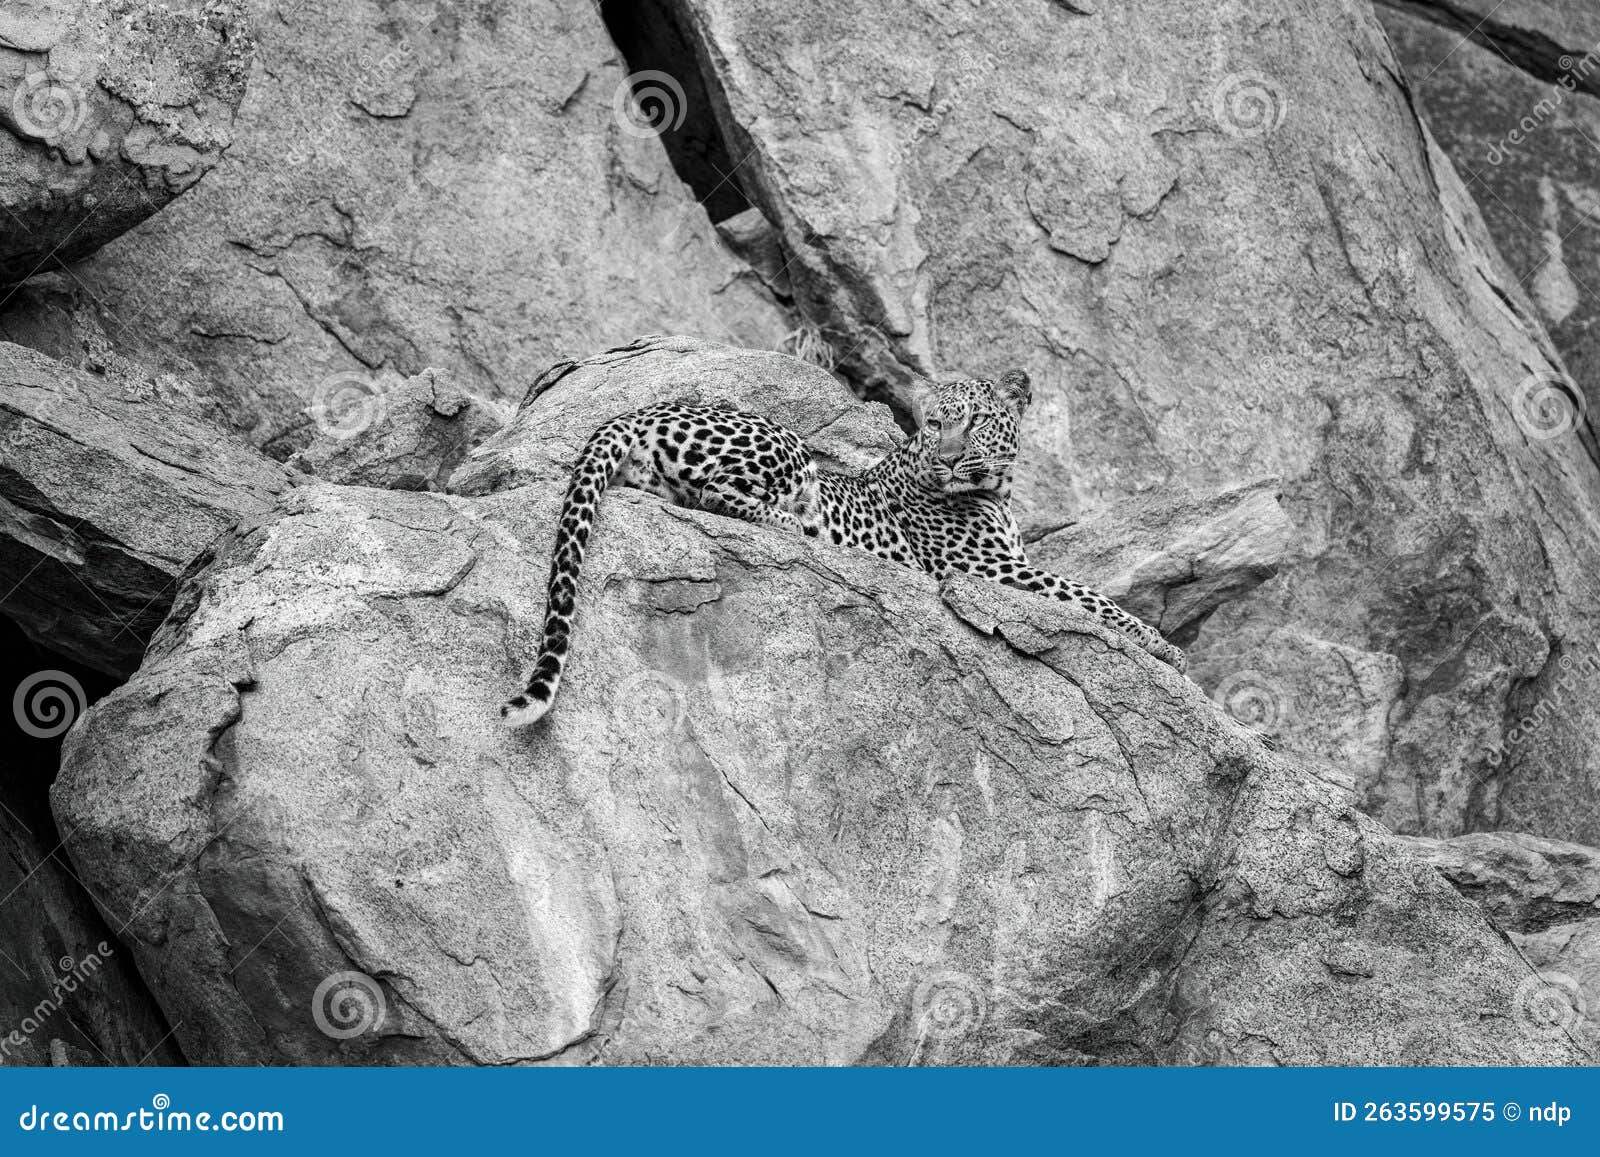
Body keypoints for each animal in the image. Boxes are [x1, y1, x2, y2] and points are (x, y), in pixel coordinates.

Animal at [501, 367, 1186, 727]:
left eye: (977, 422)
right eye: (936, 423)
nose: (947, 457)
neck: (995, 490)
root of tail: (637, 411)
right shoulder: (984, 567)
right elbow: (1086, 593)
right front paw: (1162, 646)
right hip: (784, 445)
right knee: (718, 492)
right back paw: (795, 525)